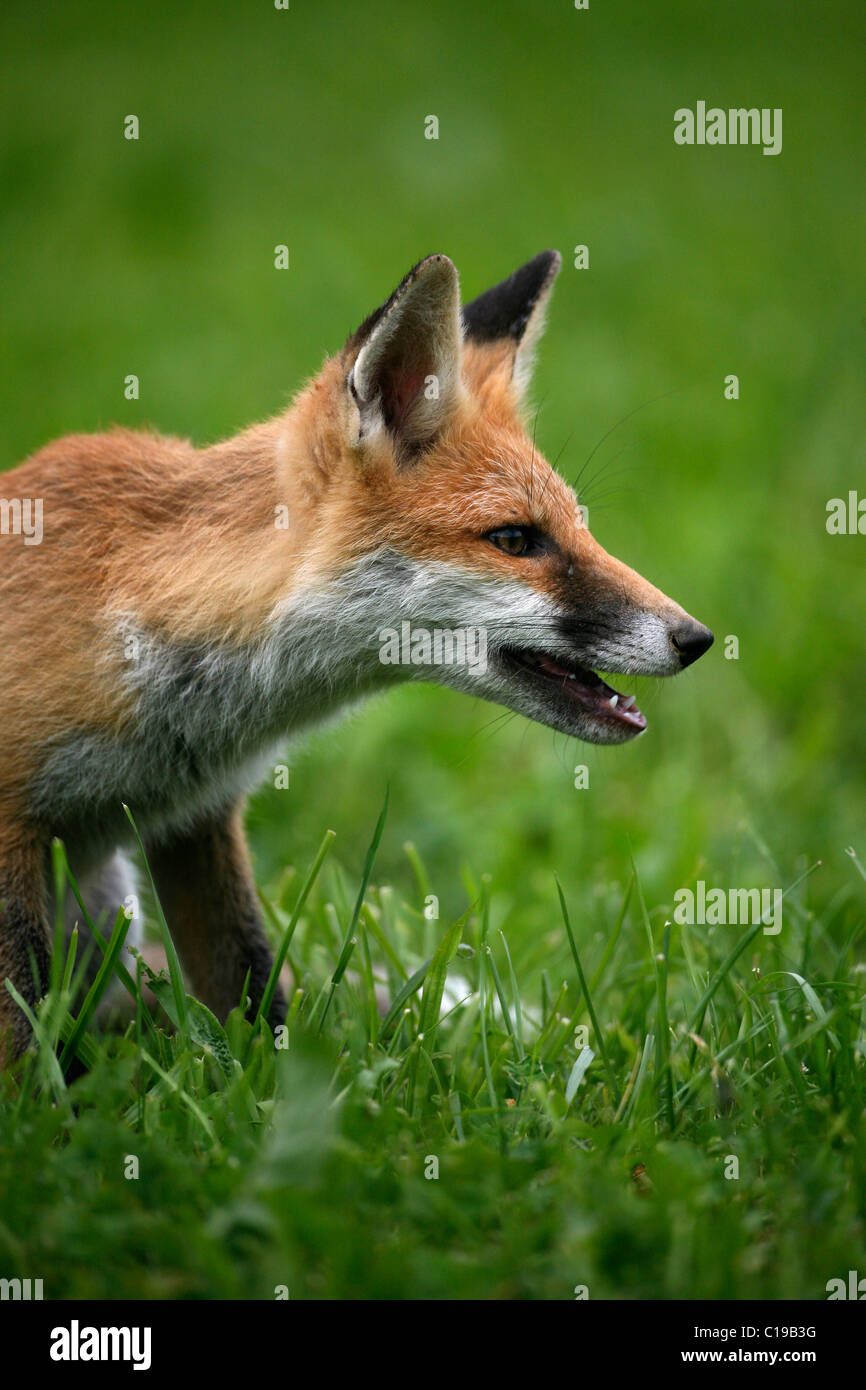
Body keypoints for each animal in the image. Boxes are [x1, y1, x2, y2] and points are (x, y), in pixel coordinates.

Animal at [0, 250, 712, 1061]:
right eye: (514, 539)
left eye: (581, 529)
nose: (696, 638)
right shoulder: (15, 824)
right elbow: (19, 1033)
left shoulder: (198, 818)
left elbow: (253, 993)